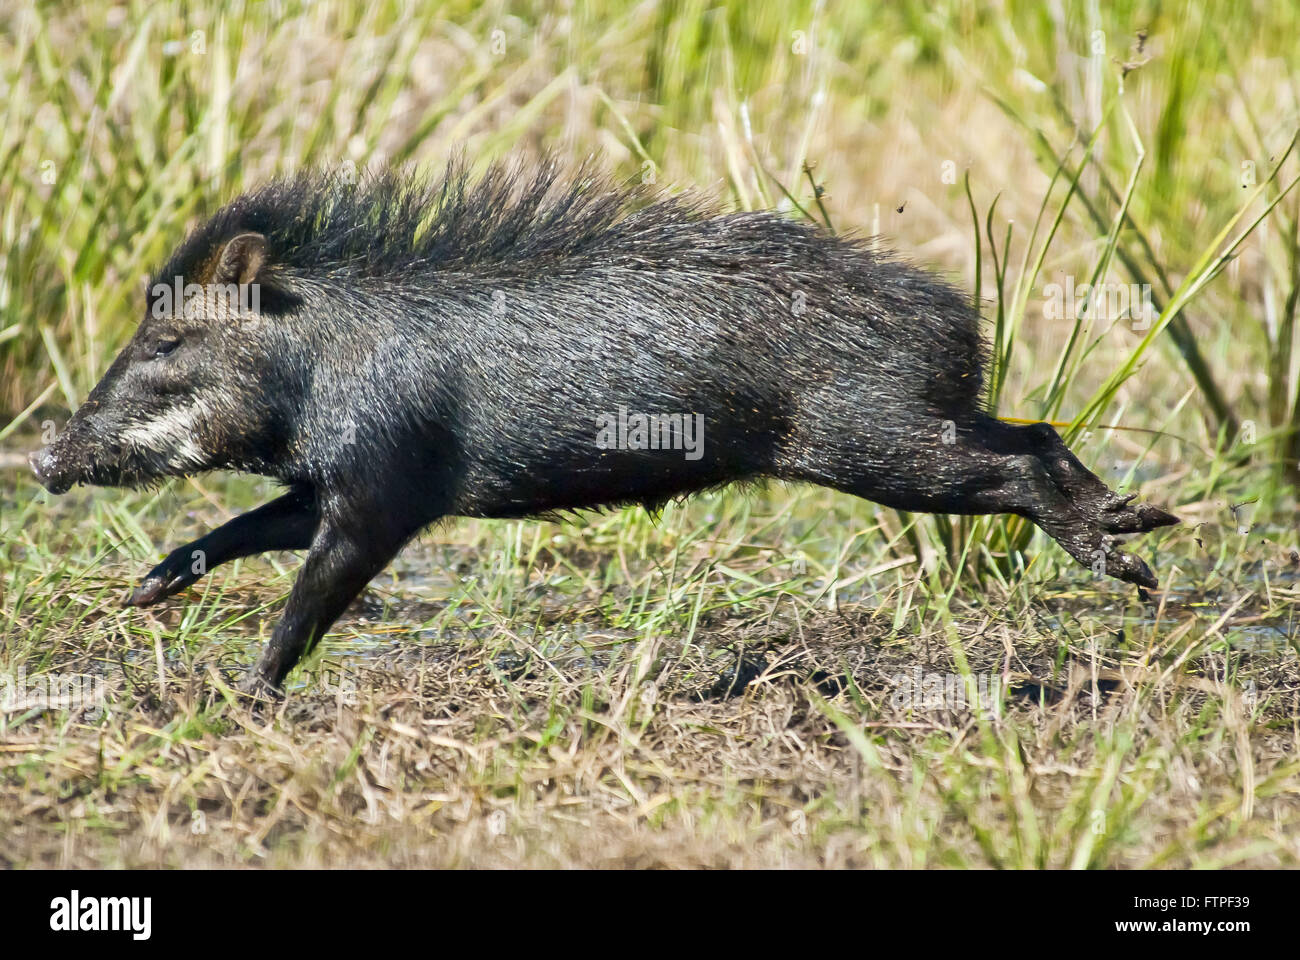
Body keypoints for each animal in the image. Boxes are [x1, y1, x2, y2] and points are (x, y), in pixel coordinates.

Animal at [29, 159, 1178, 696]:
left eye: (164, 344)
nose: (41, 456)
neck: (318, 356)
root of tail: (958, 320)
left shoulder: (383, 496)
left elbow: (309, 600)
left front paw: (248, 694)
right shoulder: (332, 485)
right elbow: (241, 529)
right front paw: (147, 591)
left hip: (877, 443)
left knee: (1023, 459)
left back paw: (1133, 556)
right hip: (921, 426)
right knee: (1039, 430)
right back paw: (1138, 531)